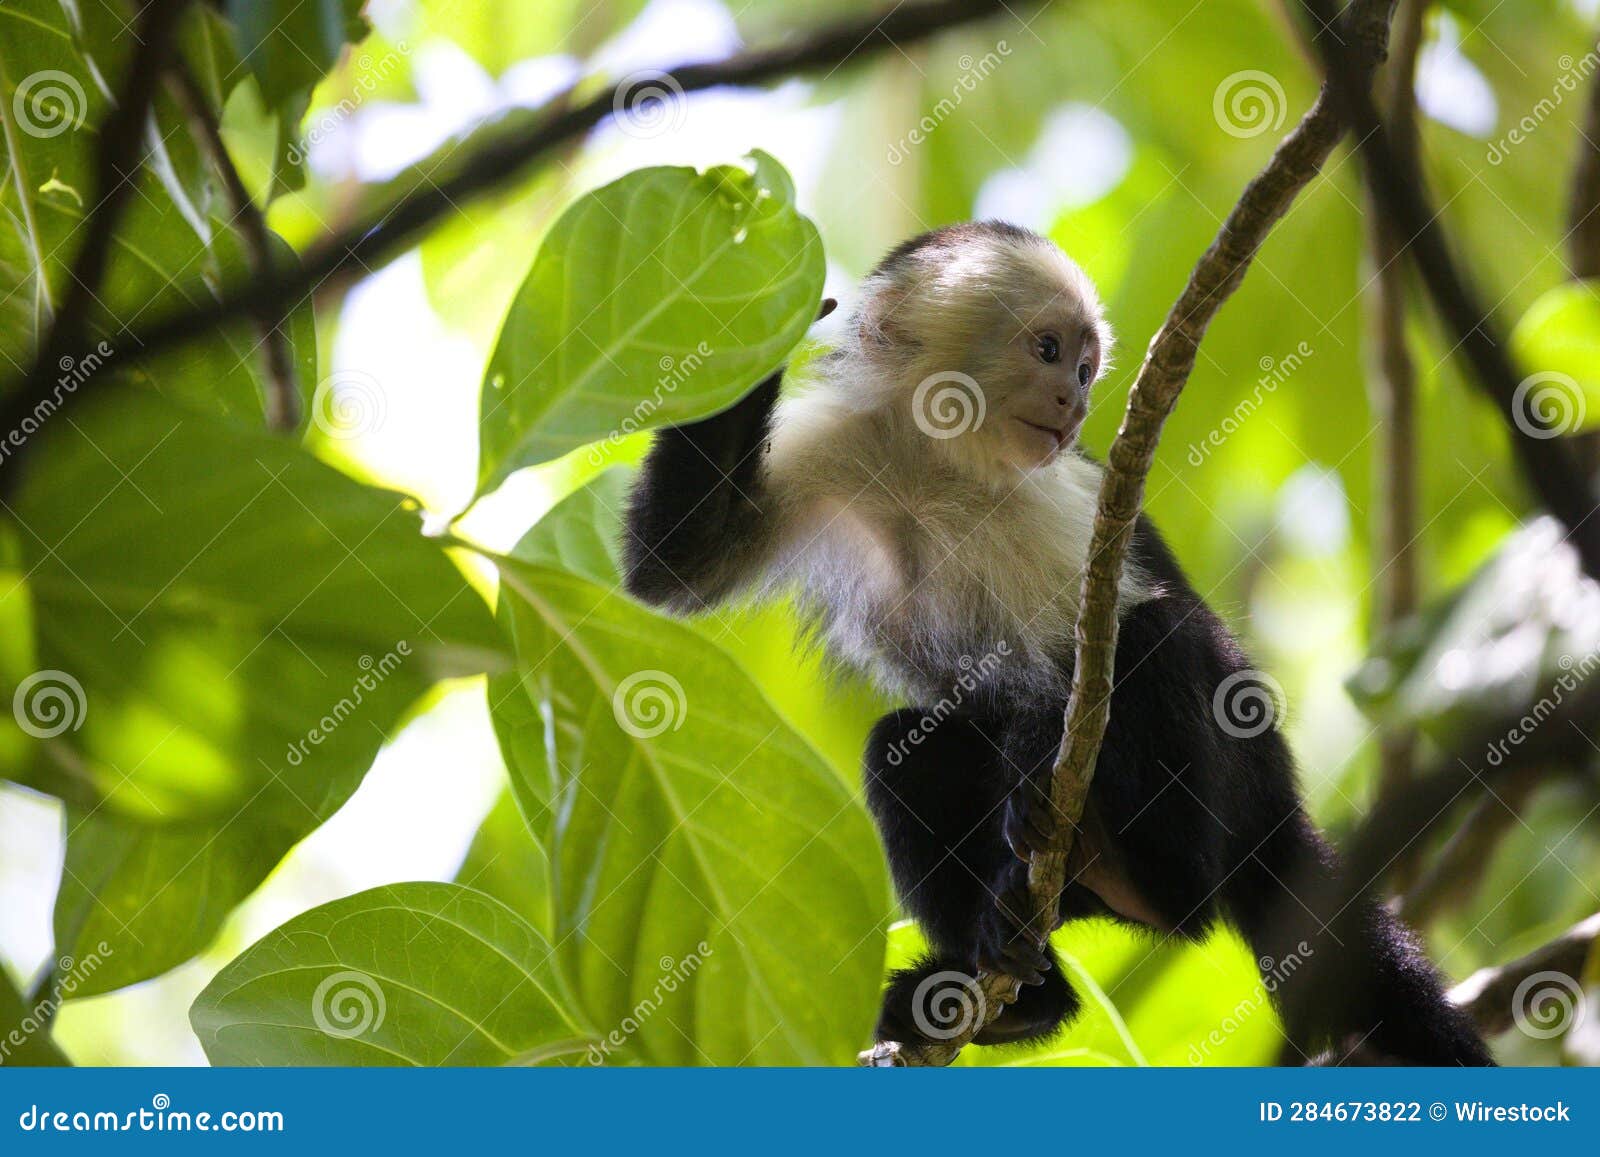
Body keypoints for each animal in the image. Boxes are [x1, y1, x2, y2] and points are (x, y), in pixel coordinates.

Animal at [620, 221, 1493, 1065]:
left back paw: (1154, 878)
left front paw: (1040, 766)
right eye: (1046, 349)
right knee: (907, 748)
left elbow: (1079, 656)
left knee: (1152, 637)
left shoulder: (1058, 494)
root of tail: (1279, 806)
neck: (944, 465)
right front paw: (753, 326)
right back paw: (1021, 983)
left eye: (1085, 363)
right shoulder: (841, 446)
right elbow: (678, 562)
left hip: (1229, 784)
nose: (1075, 393)